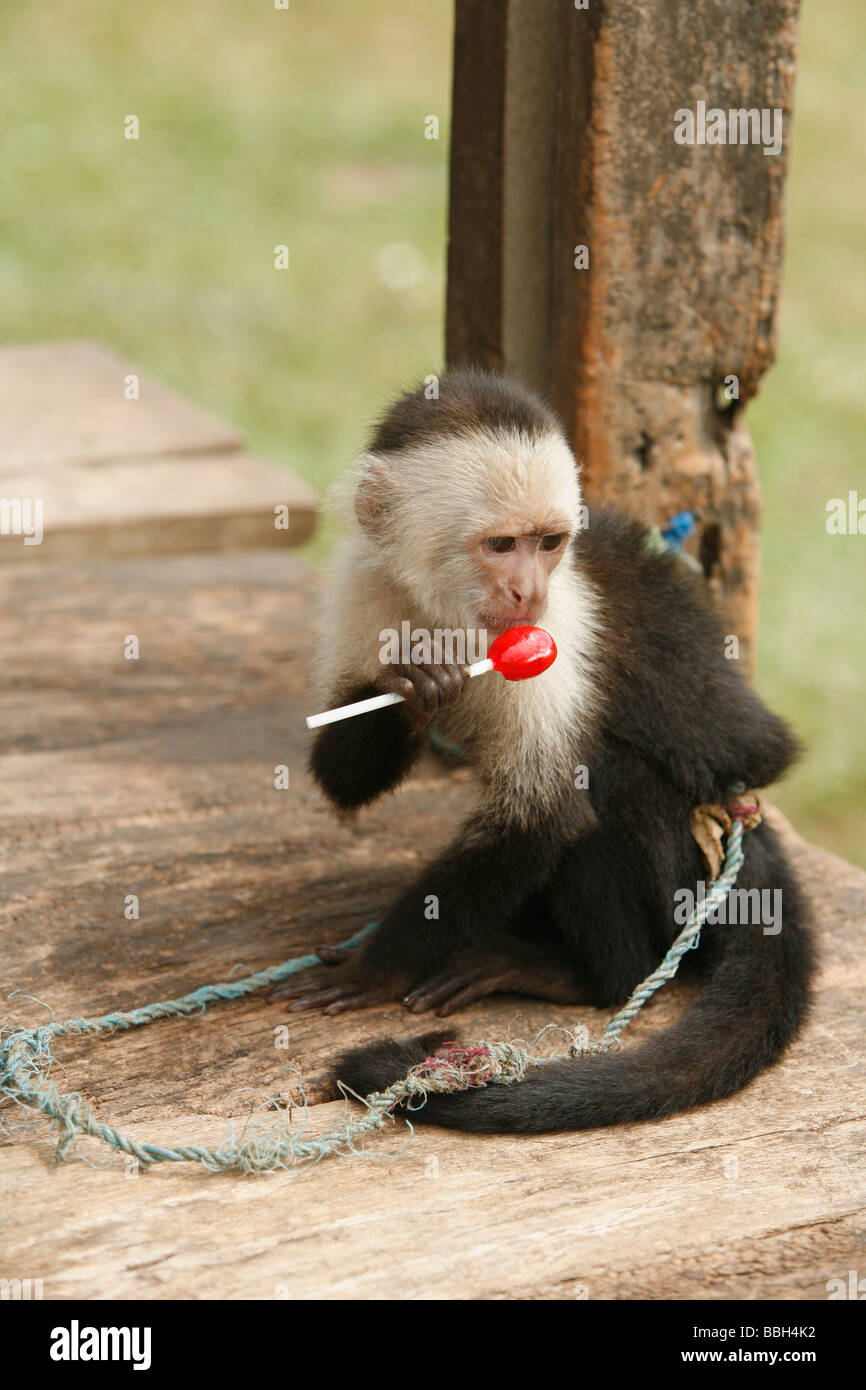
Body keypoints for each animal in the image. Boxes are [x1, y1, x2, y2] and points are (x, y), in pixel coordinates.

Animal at [272, 367, 815, 1134]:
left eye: (550, 543)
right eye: (502, 545)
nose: (527, 589)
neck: (455, 617)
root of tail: (742, 814)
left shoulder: (555, 627)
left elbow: (544, 817)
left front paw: (375, 969)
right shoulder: (367, 585)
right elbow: (342, 773)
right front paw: (412, 691)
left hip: (692, 860)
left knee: (610, 779)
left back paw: (583, 974)